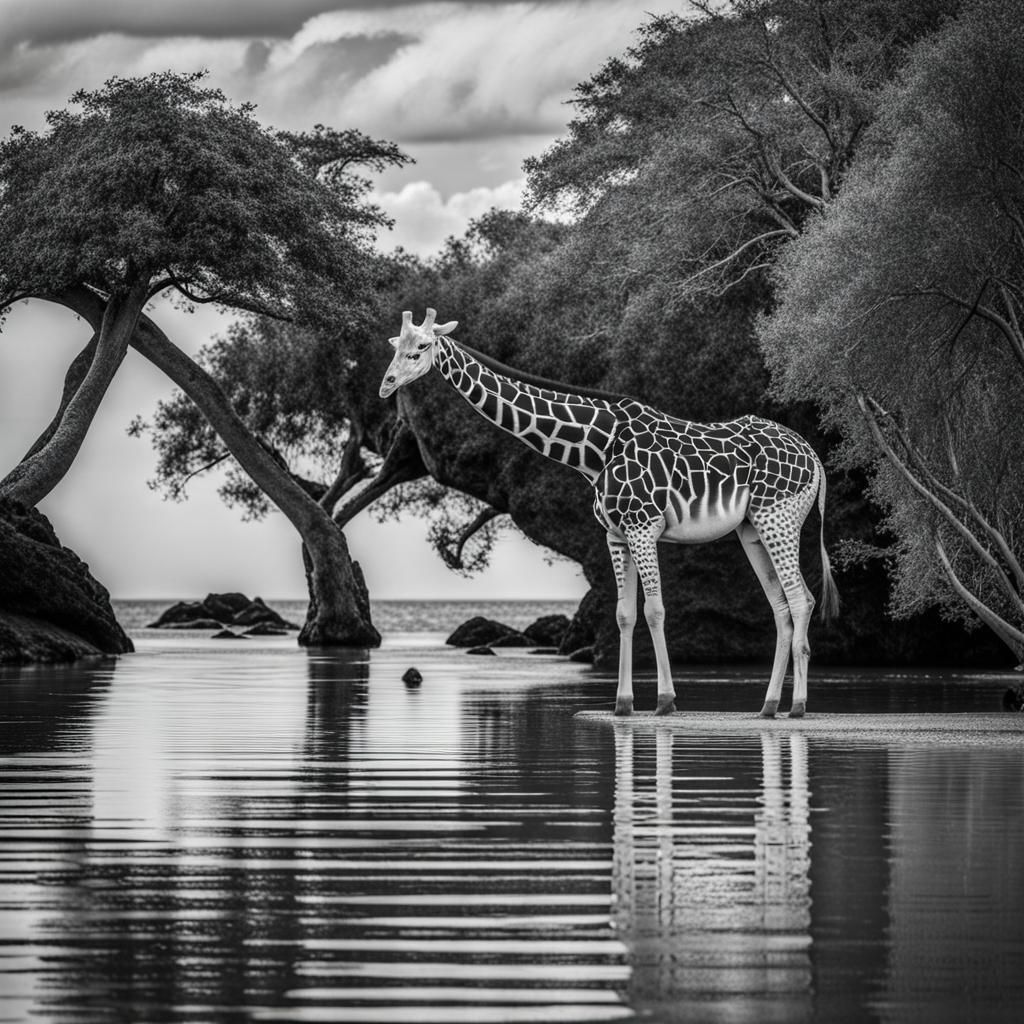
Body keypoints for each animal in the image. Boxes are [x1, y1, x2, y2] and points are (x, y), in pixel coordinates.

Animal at [380, 309, 839, 718]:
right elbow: (623, 615)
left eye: (421, 348)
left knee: (802, 599)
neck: (594, 449)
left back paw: (798, 707)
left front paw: (665, 701)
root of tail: (816, 461)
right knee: (781, 605)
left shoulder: (643, 526)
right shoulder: (615, 534)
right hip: (751, 528)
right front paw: (622, 703)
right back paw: (768, 707)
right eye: (396, 346)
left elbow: (655, 610)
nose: (386, 385)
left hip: (778, 517)